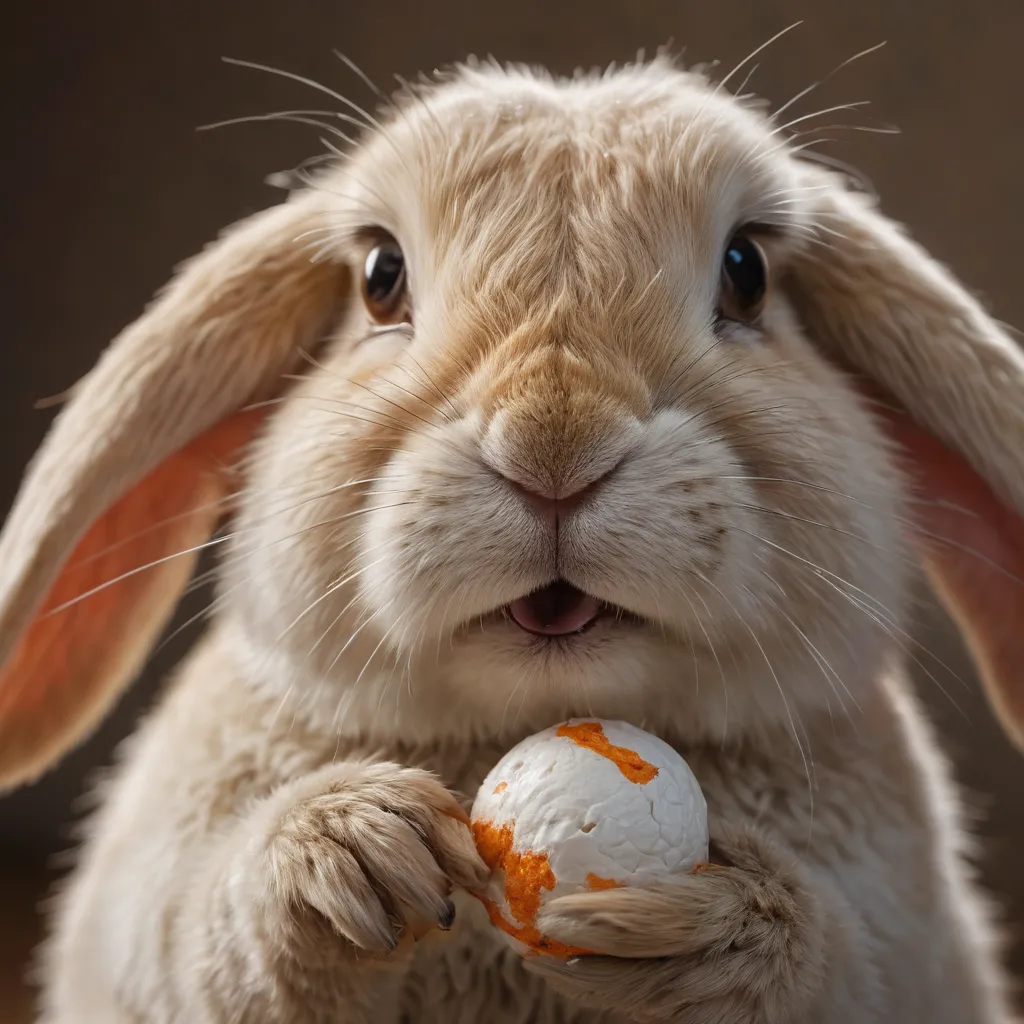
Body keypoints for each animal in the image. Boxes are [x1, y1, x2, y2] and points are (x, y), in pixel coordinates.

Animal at [0, 52, 1022, 1024]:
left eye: (747, 271)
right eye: (380, 278)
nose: (553, 446)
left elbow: (843, 971)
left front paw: (708, 928)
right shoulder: (151, 929)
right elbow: (209, 950)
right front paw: (356, 850)